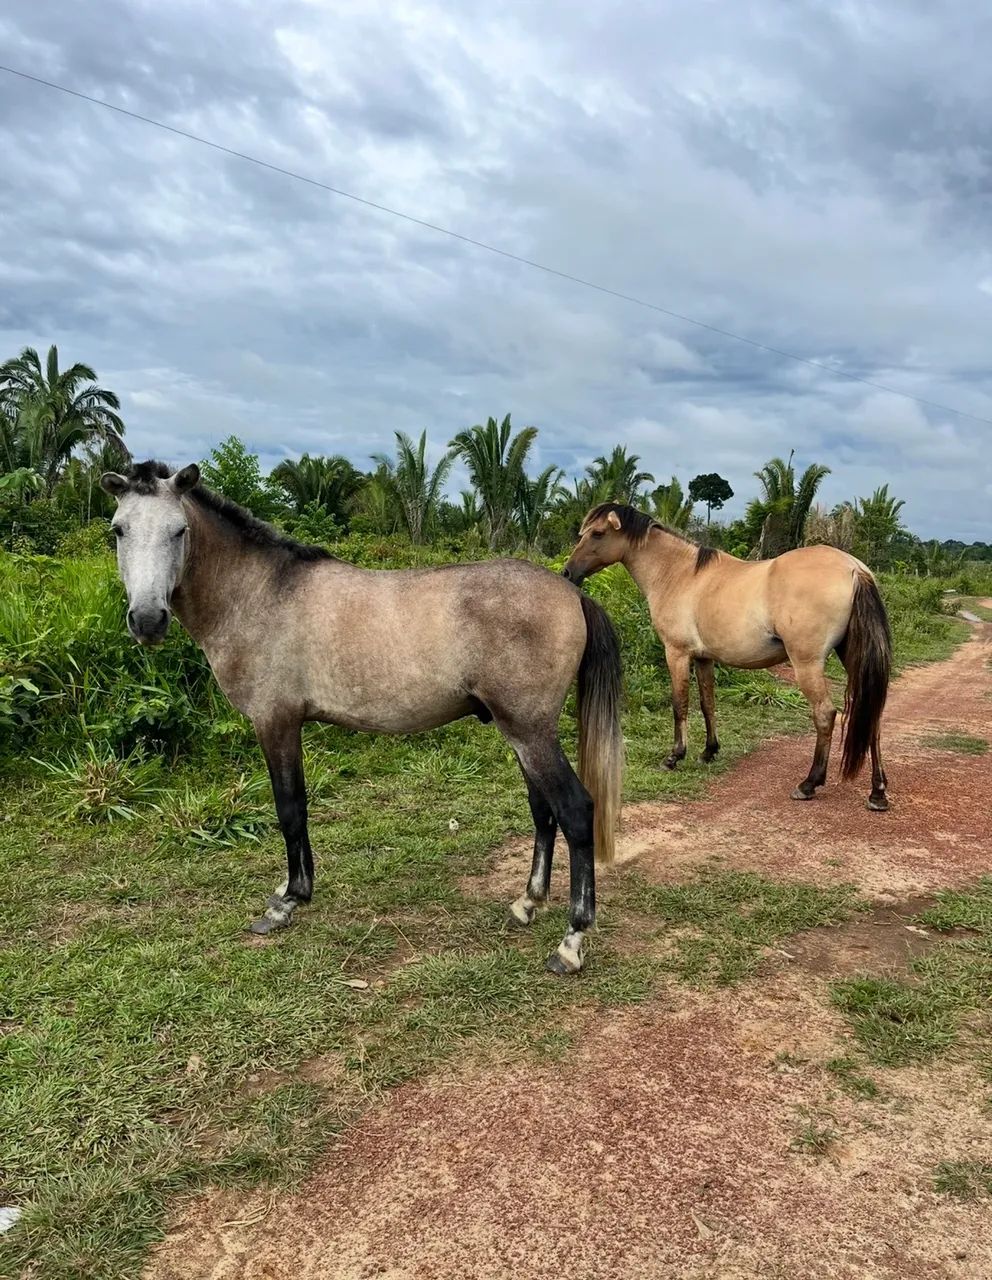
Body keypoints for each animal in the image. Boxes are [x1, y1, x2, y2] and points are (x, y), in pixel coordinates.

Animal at [99, 461, 623, 975]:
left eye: (179, 530)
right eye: (119, 530)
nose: (147, 620)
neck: (261, 594)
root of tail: (570, 593)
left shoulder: (275, 722)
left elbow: (289, 808)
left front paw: (286, 902)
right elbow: (298, 807)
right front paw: (296, 890)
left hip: (530, 732)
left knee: (575, 811)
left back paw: (571, 941)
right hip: (523, 733)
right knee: (543, 811)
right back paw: (527, 903)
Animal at [562, 503, 891, 811]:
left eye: (598, 533)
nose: (567, 573)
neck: (679, 574)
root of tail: (854, 569)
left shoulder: (677, 653)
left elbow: (680, 704)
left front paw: (674, 757)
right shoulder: (704, 658)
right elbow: (708, 704)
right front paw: (709, 751)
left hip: (807, 664)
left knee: (825, 714)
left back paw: (809, 783)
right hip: (852, 657)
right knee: (872, 715)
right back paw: (877, 792)